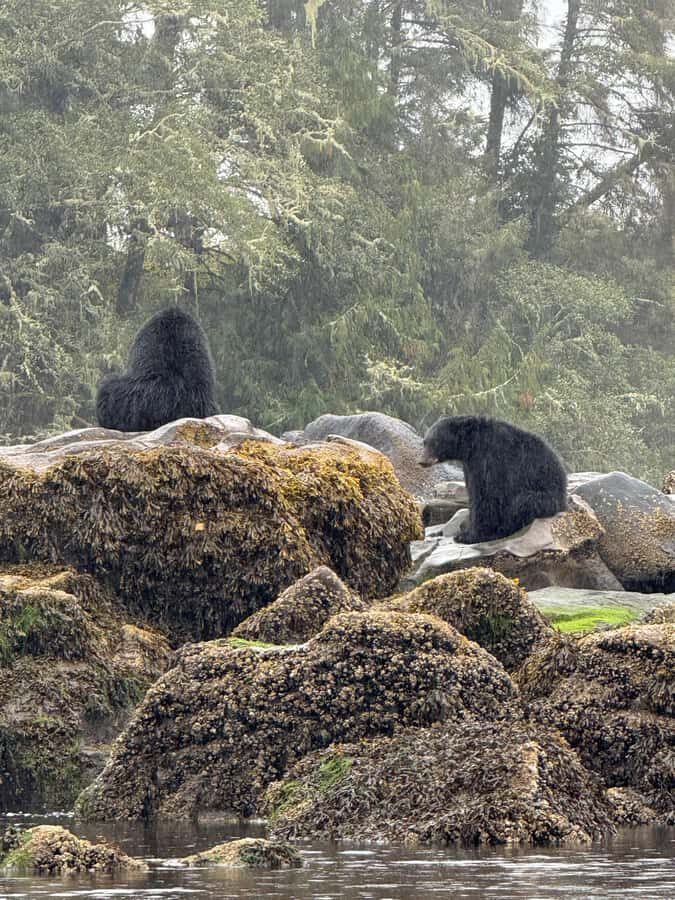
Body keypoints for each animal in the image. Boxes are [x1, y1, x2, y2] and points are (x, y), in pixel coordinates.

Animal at [419, 415, 567, 543]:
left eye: (435, 442)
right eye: (424, 442)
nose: (422, 461)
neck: (472, 444)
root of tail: (563, 502)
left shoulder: (491, 458)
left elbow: (487, 495)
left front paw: (468, 536)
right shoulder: (470, 464)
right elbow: (473, 493)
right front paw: (467, 527)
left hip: (546, 498)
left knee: (523, 502)